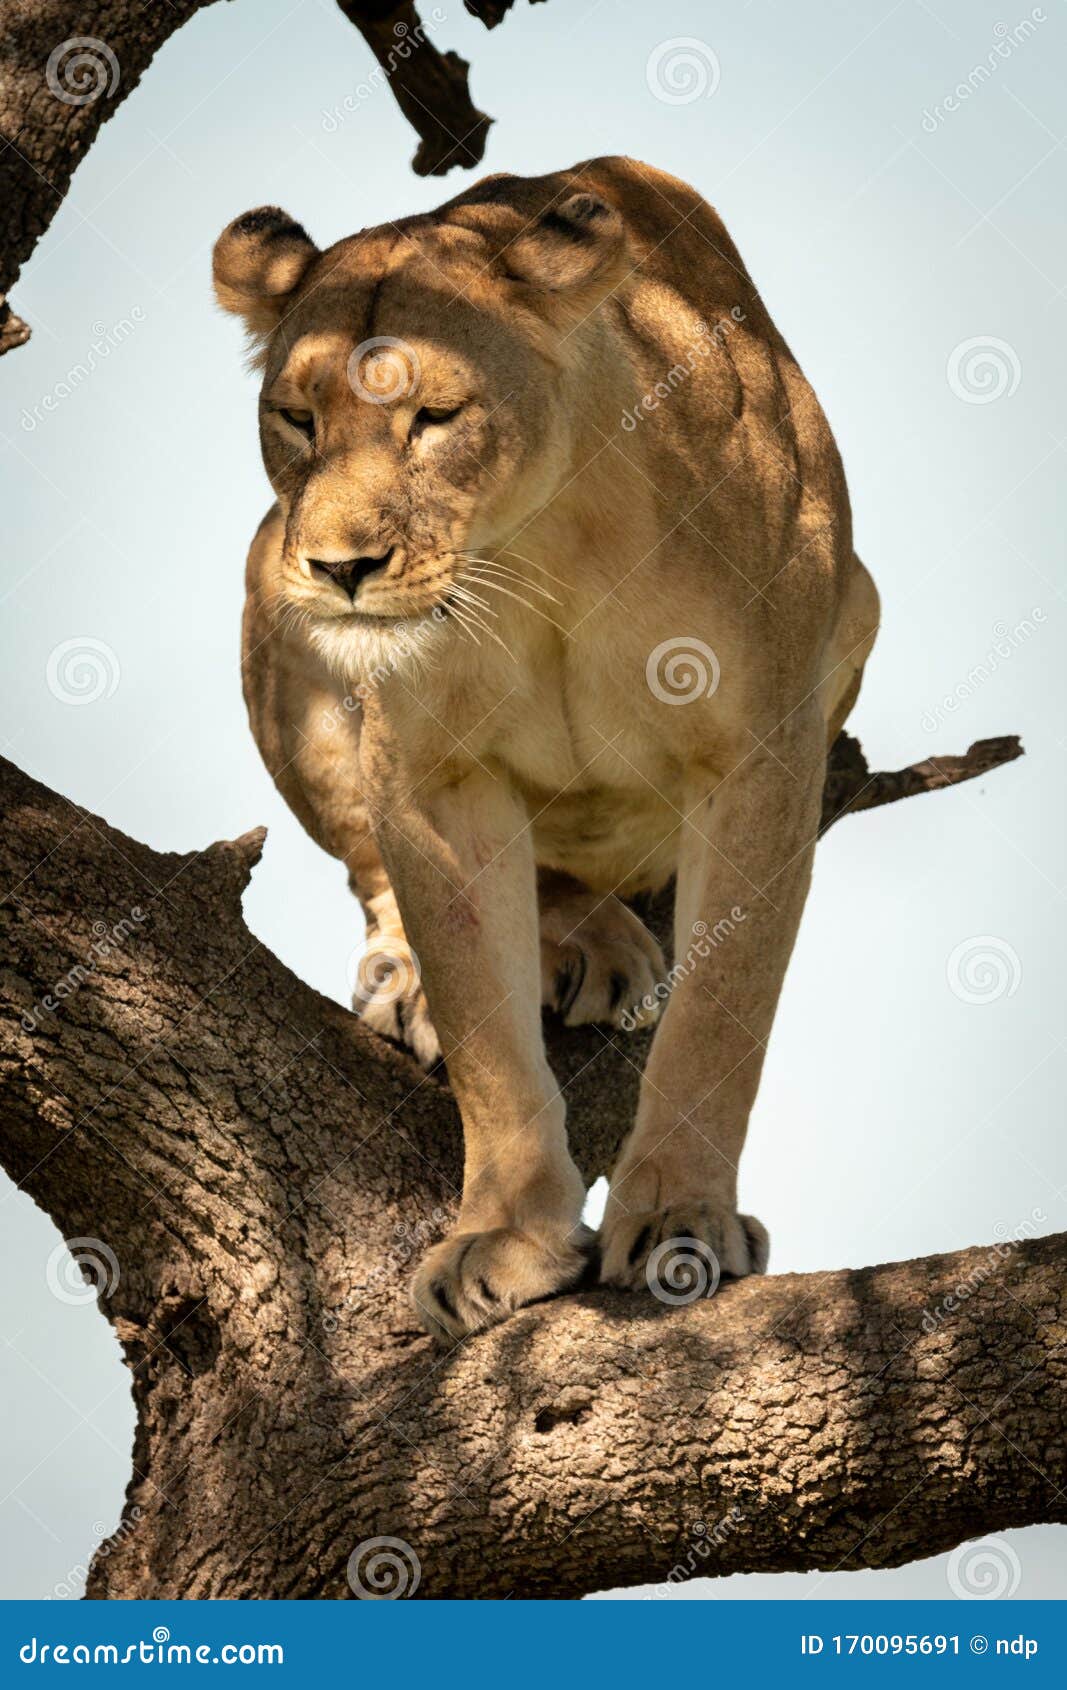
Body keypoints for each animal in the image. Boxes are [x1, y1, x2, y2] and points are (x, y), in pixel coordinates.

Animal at [213, 157, 879, 1342]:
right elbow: (483, 1026)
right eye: (295, 418)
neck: (536, 545)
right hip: (267, 580)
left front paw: (680, 1223)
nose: (340, 567)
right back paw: (479, 964)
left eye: (435, 416)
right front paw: (506, 1237)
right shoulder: (430, 772)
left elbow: (723, 1011)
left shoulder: (762, 749)